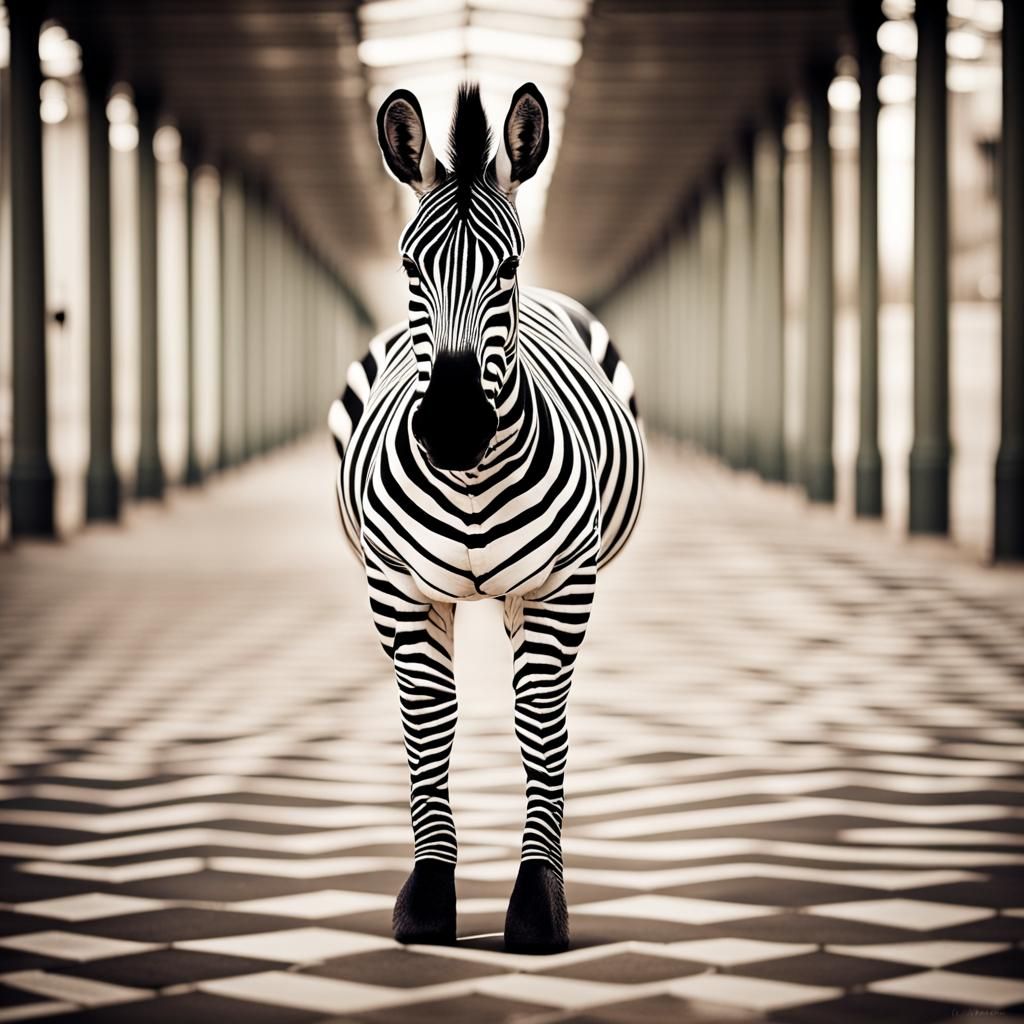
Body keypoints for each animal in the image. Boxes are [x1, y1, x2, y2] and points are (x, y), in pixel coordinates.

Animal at [329, 83, 646, 953]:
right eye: (410, 266)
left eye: (506, 269)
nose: (453, 428)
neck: (472, 482)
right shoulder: (395, 587)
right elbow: (430, 718)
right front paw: (430, 893)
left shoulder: (560, 585)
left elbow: (538, 720)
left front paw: (538, 900)